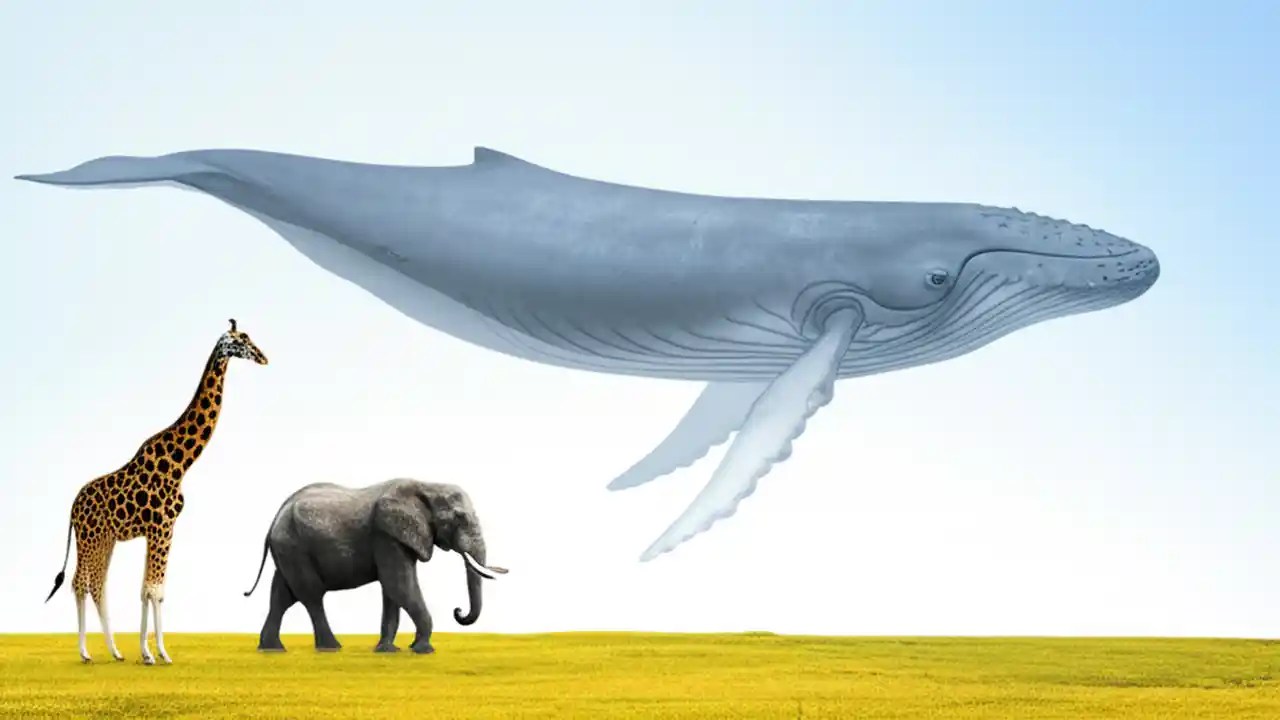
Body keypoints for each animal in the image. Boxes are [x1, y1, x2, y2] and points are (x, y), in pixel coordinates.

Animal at [45, 318, 268, 664]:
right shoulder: (163, 526)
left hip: (105, 539)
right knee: (80, 582)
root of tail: (72, 508)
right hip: (91, 538)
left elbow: (146, 589)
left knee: (97, 584)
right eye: (241, 340)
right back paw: (85, 652)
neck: (180, 463)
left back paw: (115, 651)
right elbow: (155, 590)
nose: (263, 357)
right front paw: (160, 653)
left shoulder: (157, 529)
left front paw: (147, 651)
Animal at [243, 478, 507, 654]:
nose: (458, 611)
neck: (427, 485)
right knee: (311, 596)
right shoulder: (386, 535)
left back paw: (271, 649)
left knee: (282, 595)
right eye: (459, 518)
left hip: (288, 549)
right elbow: (399, 585)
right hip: (294, 547)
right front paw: (422, 650)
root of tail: (274, 520)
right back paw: (331, 648)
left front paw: (388, 650)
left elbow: (393, 591)